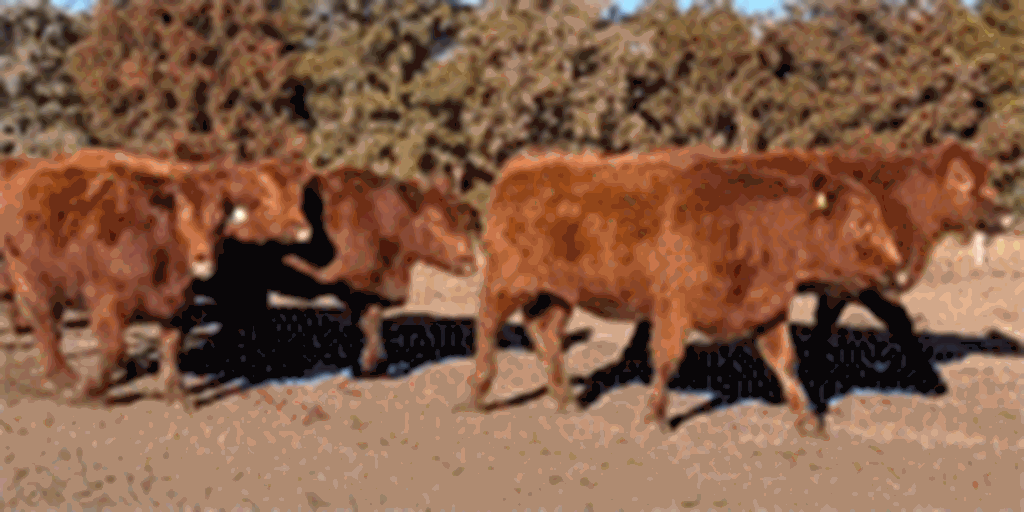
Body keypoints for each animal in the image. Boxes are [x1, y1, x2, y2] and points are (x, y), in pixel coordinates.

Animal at [0, 152, 314, 409]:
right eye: (183, 214)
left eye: (220, 220)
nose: (203, 260)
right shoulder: (104, 300)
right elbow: (114, 348)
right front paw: (88, 390)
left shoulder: (177, 305)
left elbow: (171, 346)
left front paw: (176, 392)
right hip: (29, 277)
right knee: (45, 326)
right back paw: (61, 377)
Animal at [279, 168, 480, 376]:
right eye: (434, 219)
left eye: (465, 221)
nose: (468, 262)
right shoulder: (356, 289)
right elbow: (367, 324)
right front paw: (366, 367)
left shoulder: (373, 288)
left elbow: (372, 320)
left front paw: (375, 364)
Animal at [452, 146, 908, 438]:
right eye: (860, 223)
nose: (896, 267)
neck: (751, 222)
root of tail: (524, 166)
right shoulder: (673, 309)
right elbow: (666, 359)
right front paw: (656, 417)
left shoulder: (768, 310)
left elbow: (785, 364)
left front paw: (808, 421)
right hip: (507, 281)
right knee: (488, 326)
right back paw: (477, 392)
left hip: (560, 294)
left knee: (545, 332)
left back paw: (565, 398)